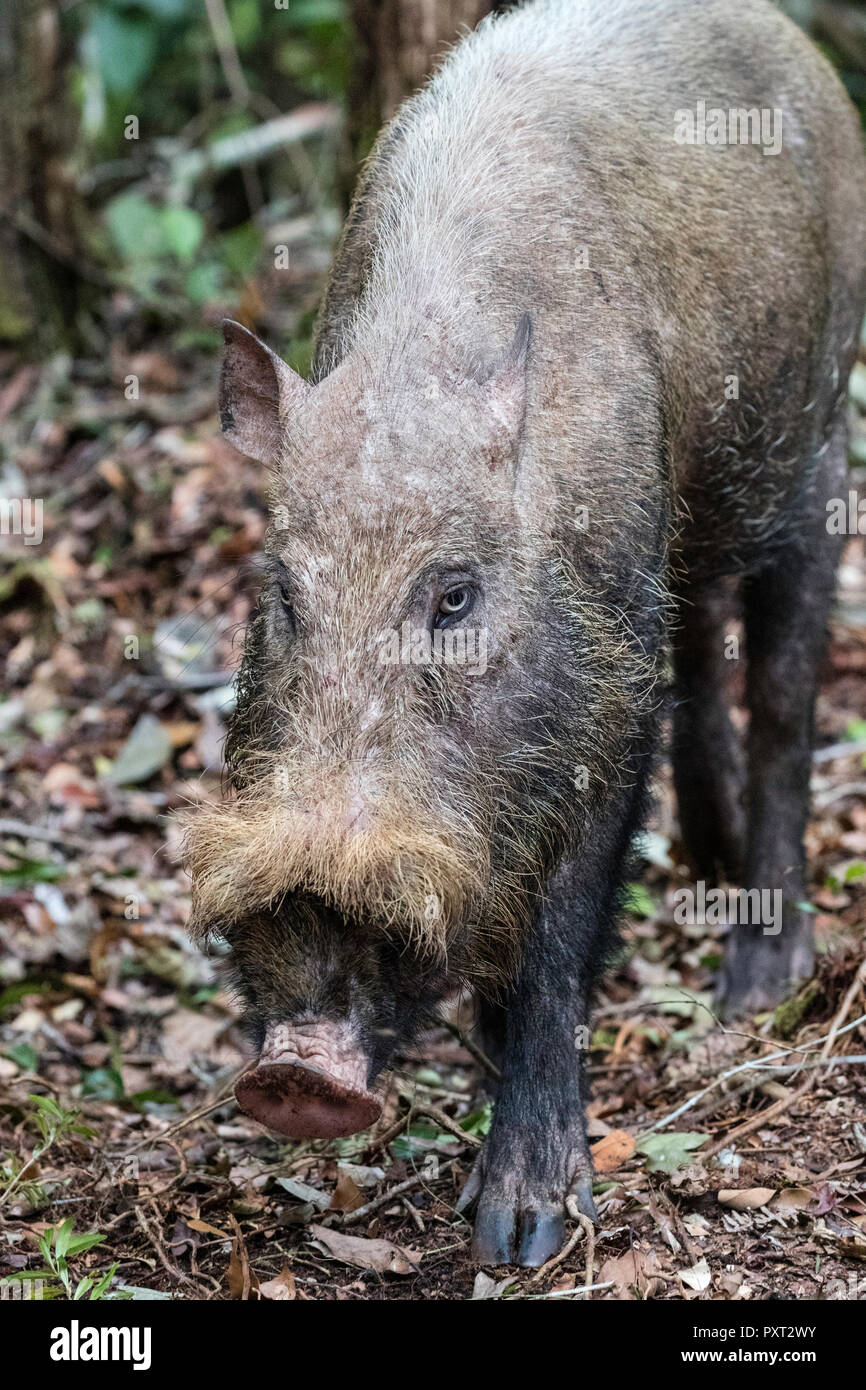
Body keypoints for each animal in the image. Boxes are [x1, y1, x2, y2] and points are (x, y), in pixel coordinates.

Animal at [183, 0, 866, 1265]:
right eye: (284, 594)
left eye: (452, 596)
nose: (297, 1075)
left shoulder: (600, 700)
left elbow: (561, 936)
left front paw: (522, 1233)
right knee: (702, 637)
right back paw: (704, 861)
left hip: (814, 445)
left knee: (785, 686)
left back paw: (758, 975)